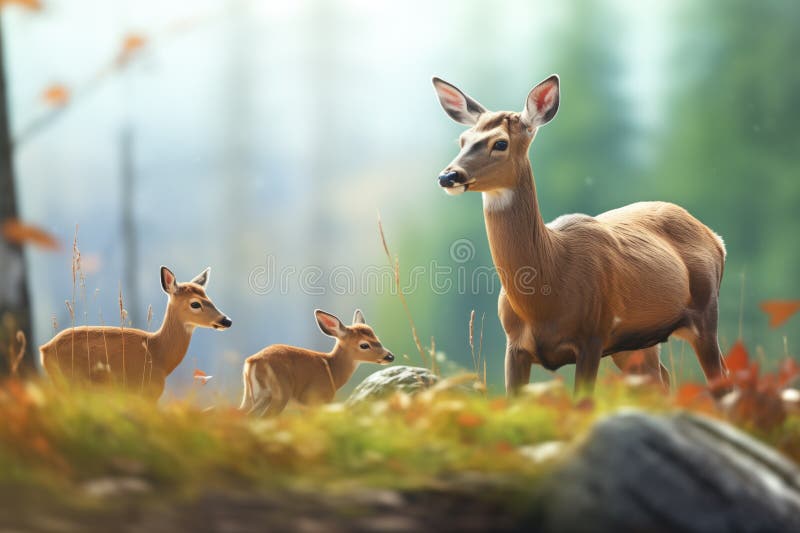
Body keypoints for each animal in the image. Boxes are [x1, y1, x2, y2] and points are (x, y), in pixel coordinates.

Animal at [40, 266, 232, 400]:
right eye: (195, 303)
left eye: (209, 298)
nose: (227, 320)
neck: (158, 353)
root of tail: (44, 350)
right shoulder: (147, 393)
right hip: (72, 383)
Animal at [240, 309, 394, 416]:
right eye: (364, 345)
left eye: (377, 338)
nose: (390, 356)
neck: (332, 371)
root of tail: (252, 361)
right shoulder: (314, 398)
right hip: (279, 393)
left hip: (250, 395)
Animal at [432, 74, 727, 396]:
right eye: (463, 140)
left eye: (500, 143)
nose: (448, 176)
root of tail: (716, 239)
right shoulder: (514, 346)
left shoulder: (592, 336)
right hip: (637, 344)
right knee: (661, 378)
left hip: (705, 311)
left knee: (722, 380)